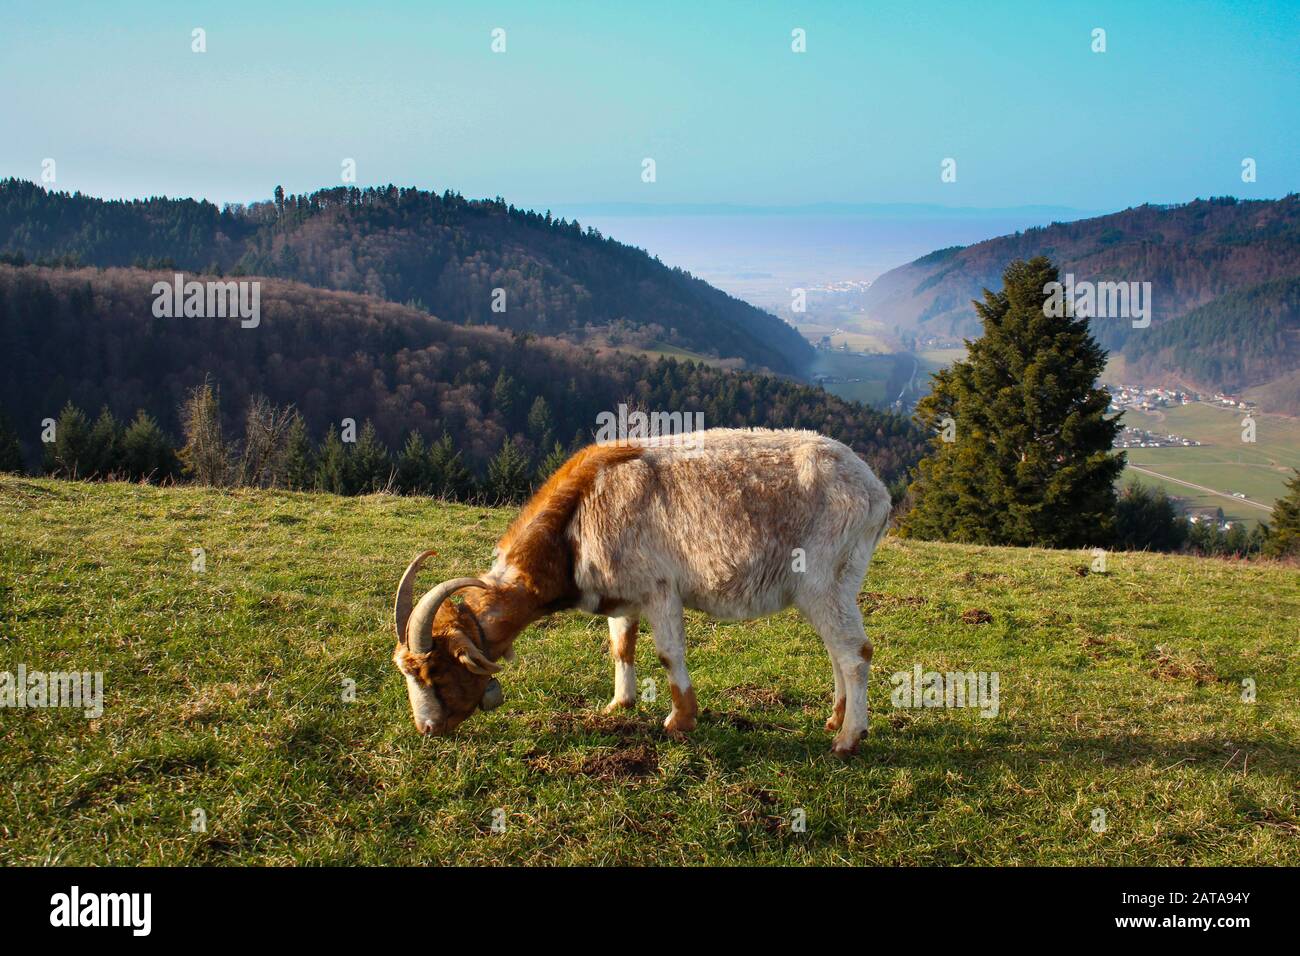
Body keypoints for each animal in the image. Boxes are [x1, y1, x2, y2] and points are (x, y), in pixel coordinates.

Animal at [392, 427, 892, 754]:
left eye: (434, 672)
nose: (427, 729)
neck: (575, 522)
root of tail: (876, 492)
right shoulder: (622, 595)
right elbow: (622, 646)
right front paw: (619, 704)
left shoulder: (659, 590)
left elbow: (669, 654)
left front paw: (680, 721)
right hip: (829, 588)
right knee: (836, 650)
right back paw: (835, 717)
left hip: (826, 579)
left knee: (855, 652)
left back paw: (847, 738)